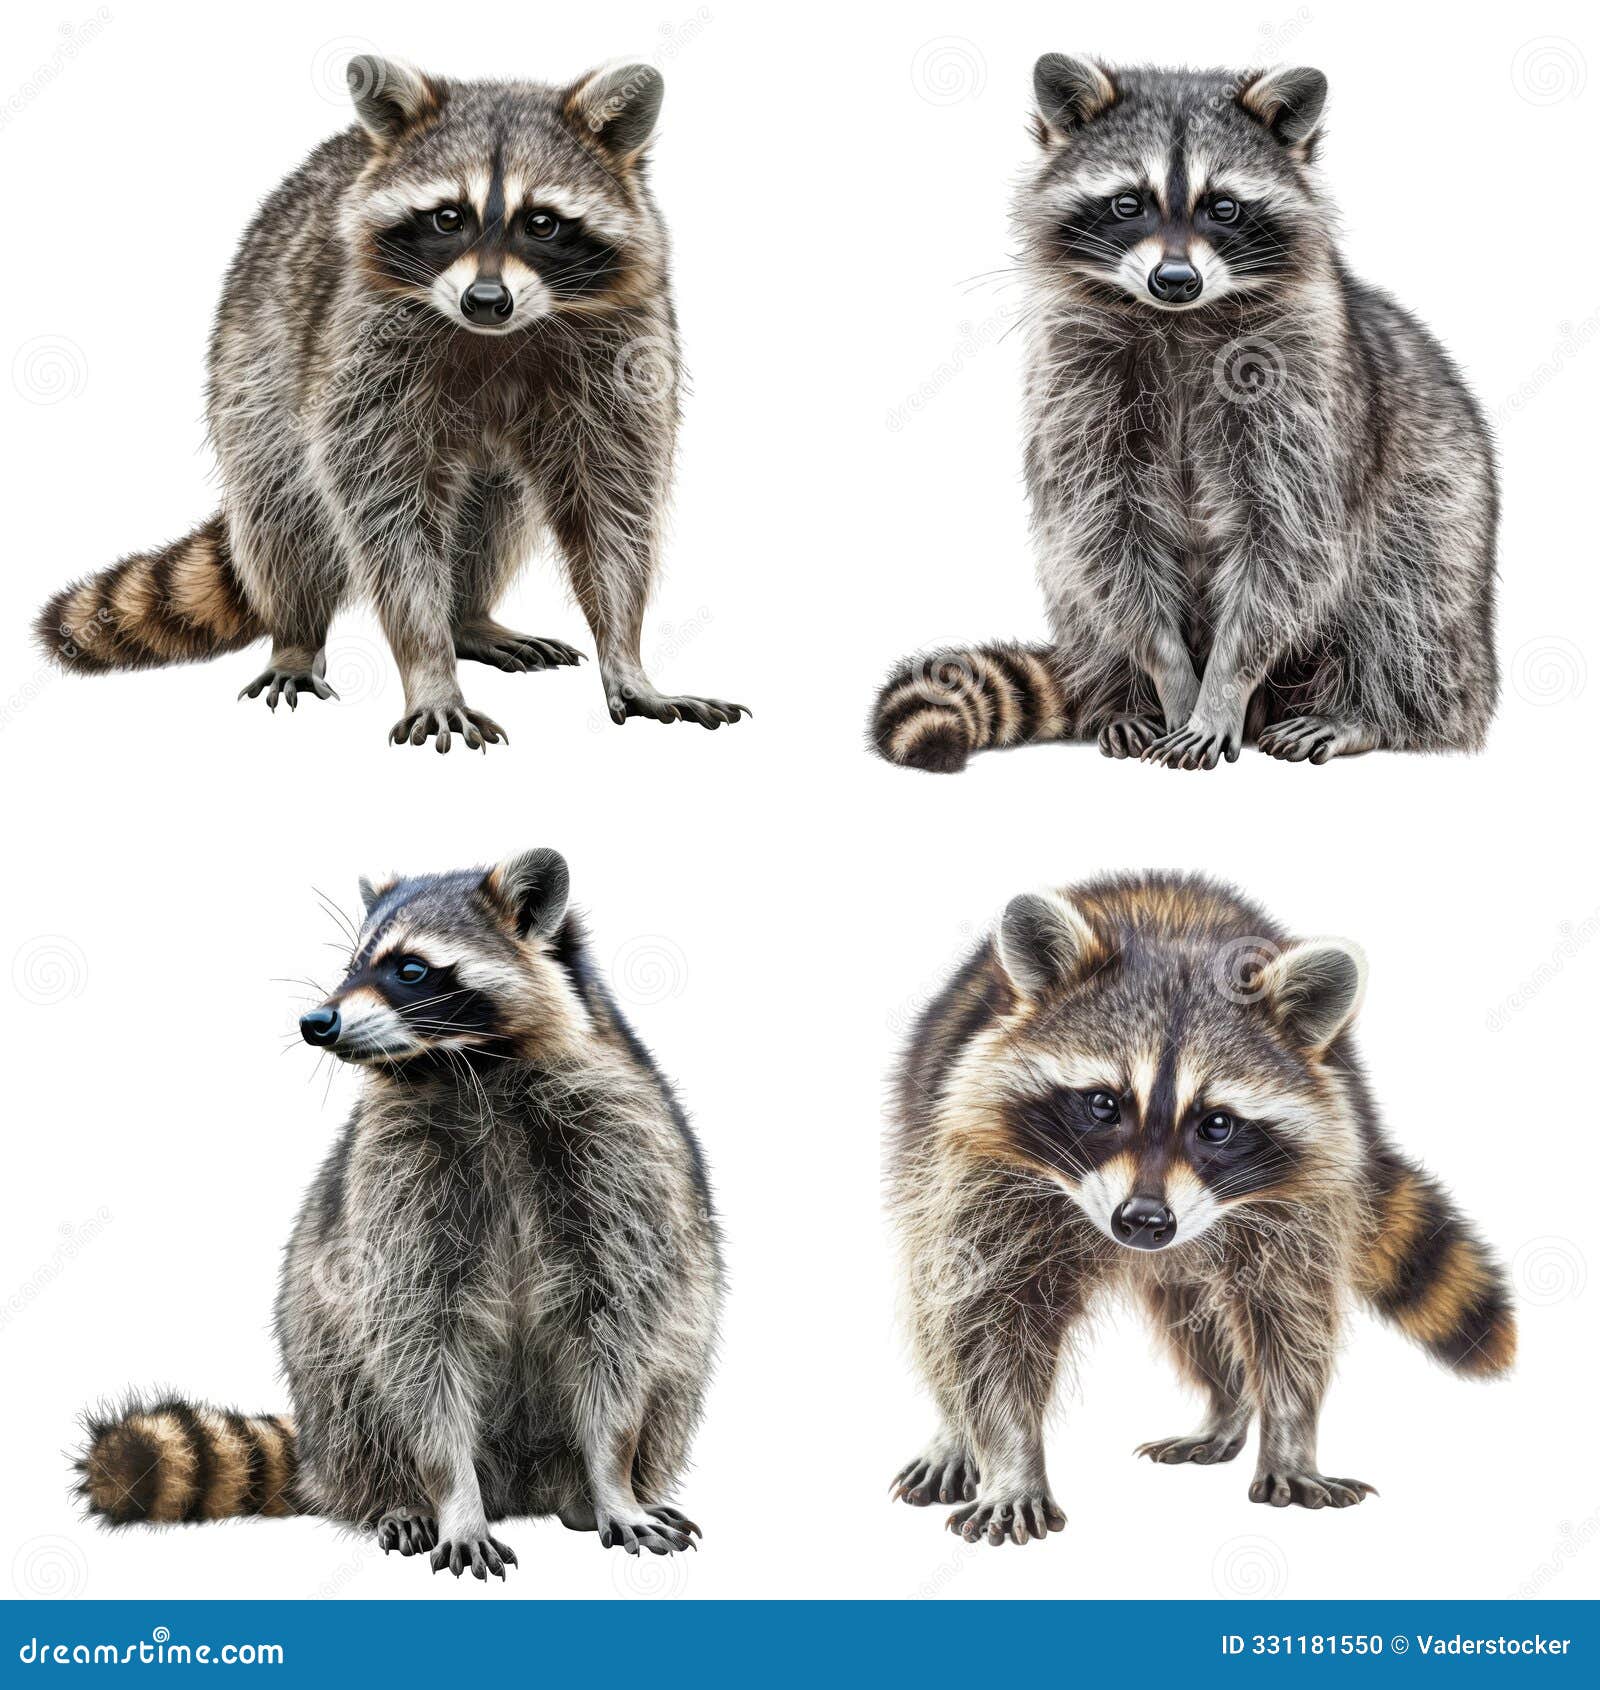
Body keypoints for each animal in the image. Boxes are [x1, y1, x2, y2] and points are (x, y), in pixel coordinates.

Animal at [36, 57, 747, 749]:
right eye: (448, 217)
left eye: (541, 223)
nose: (485, 300)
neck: (494, 337)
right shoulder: (364, 359)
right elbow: (389, 520)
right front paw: (429, 667)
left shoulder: (624, 356)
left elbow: (611, 507)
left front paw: (626, 655)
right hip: (254, 363)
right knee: (282, 508)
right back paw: (297, 633)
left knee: (493, 512)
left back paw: (470, 616)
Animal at [77, 849, 722, 1575]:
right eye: (350, 966)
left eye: (410, 969)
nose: (316, 1023)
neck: (468, 1067)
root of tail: (522, 1487)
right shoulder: (393, 1181)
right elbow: (415, 1339)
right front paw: (453, 1498)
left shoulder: (618, 1151)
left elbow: (617, 1326)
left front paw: (613, 1479)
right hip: (327, 1386)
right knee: (354, 1392)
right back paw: (401, 1497)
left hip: (671, 1374)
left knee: (671, 1370)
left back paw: (585, 1494)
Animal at [872, 60, 1497, 774]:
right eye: (1128, 203)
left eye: (1222, 207)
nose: (1175, 279)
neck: (1178, 320)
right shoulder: (1075, 387)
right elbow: (1107, 533)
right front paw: (1170, 680)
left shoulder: (1304, 393)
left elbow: (1288, 543)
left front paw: (1221, 687)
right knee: (1077, 581)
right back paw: (1120, 701)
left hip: (1441, 522)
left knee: (1405, 603)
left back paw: (1360, 711)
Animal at [888, 873, 1514, 1543]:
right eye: (1103, 1104)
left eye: (1216, 1124)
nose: (1143, 1221)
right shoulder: (981, 1174)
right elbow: (984, 1318)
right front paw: (1008, 1458)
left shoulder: (1301, 1200)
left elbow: (1291, 1316)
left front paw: (1291, 1436)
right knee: (936, 1290)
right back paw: (956, 1436)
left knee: (1205, 1313)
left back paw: (1228, 1408)